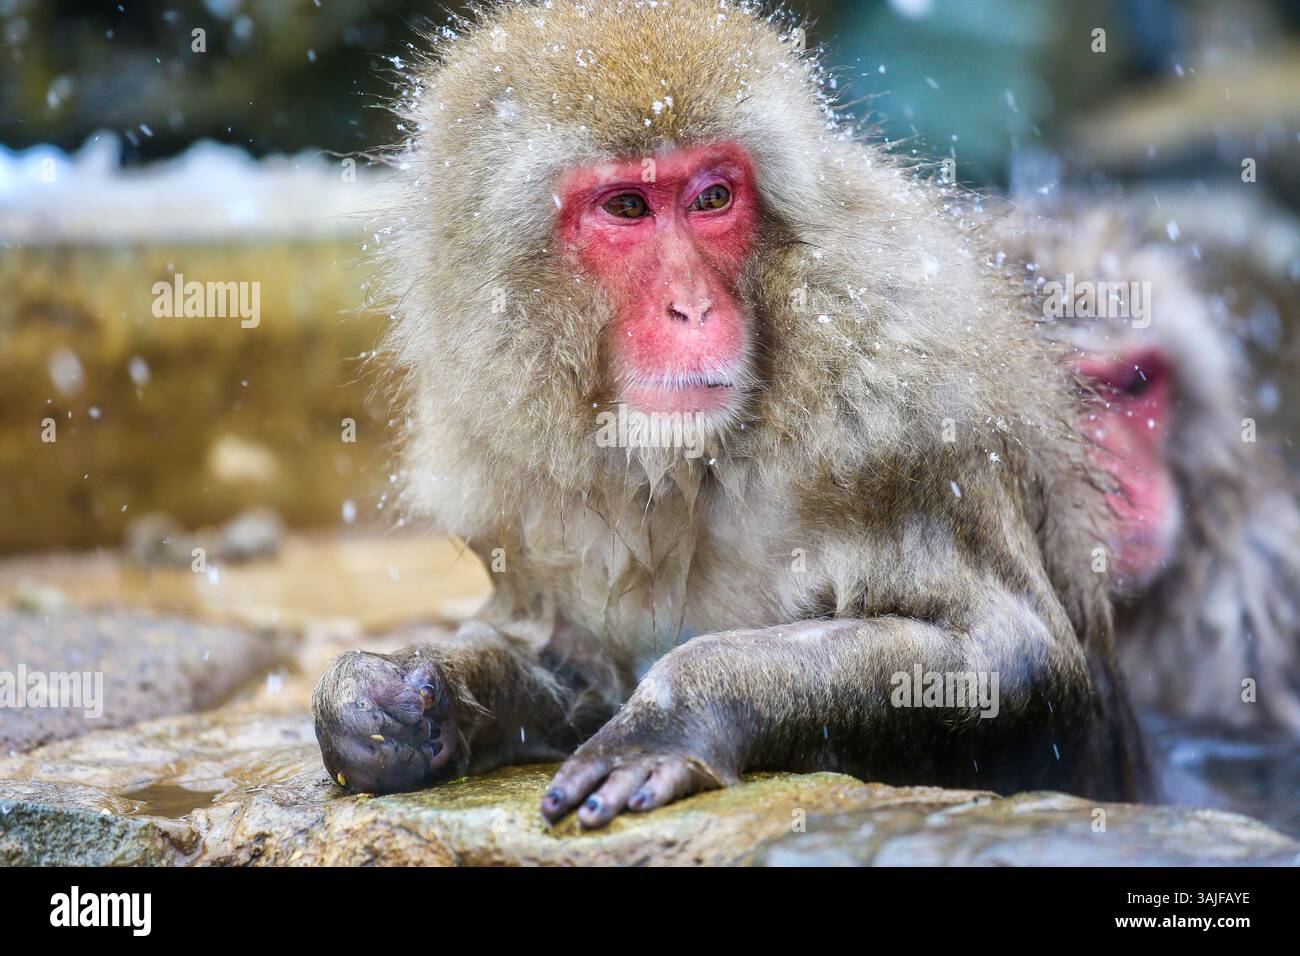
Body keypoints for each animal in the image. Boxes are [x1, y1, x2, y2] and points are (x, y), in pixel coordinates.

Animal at [311, 0, 1148, 828]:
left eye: (713, 198)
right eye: (627, 206)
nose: (694, 306)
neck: (697, 457)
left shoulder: (908, 410)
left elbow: (1012, 662)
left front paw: (683, 704)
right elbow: (576, 663)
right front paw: (389, 697)